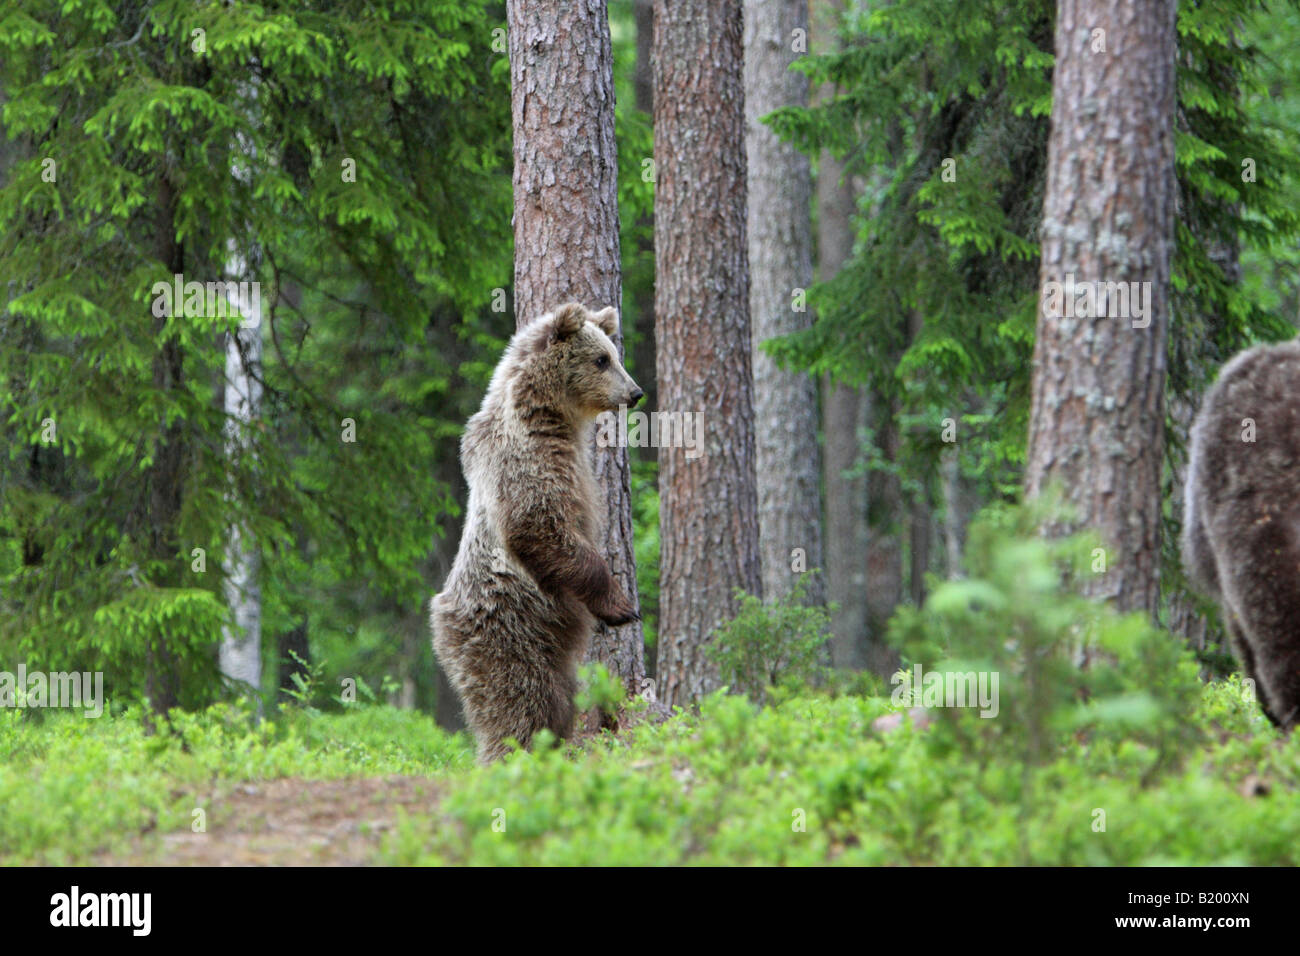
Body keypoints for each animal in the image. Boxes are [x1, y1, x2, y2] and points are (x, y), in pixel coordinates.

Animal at [431, 302, 643, 762]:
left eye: (615, 356)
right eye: (602, 359)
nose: (635, 392)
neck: (546, 414)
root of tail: (443, 623)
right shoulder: (526, 458)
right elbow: (537, 526)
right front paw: (620, 605)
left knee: (558, 698)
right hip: (509, 630)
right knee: (524, 701)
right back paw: (515, 754)